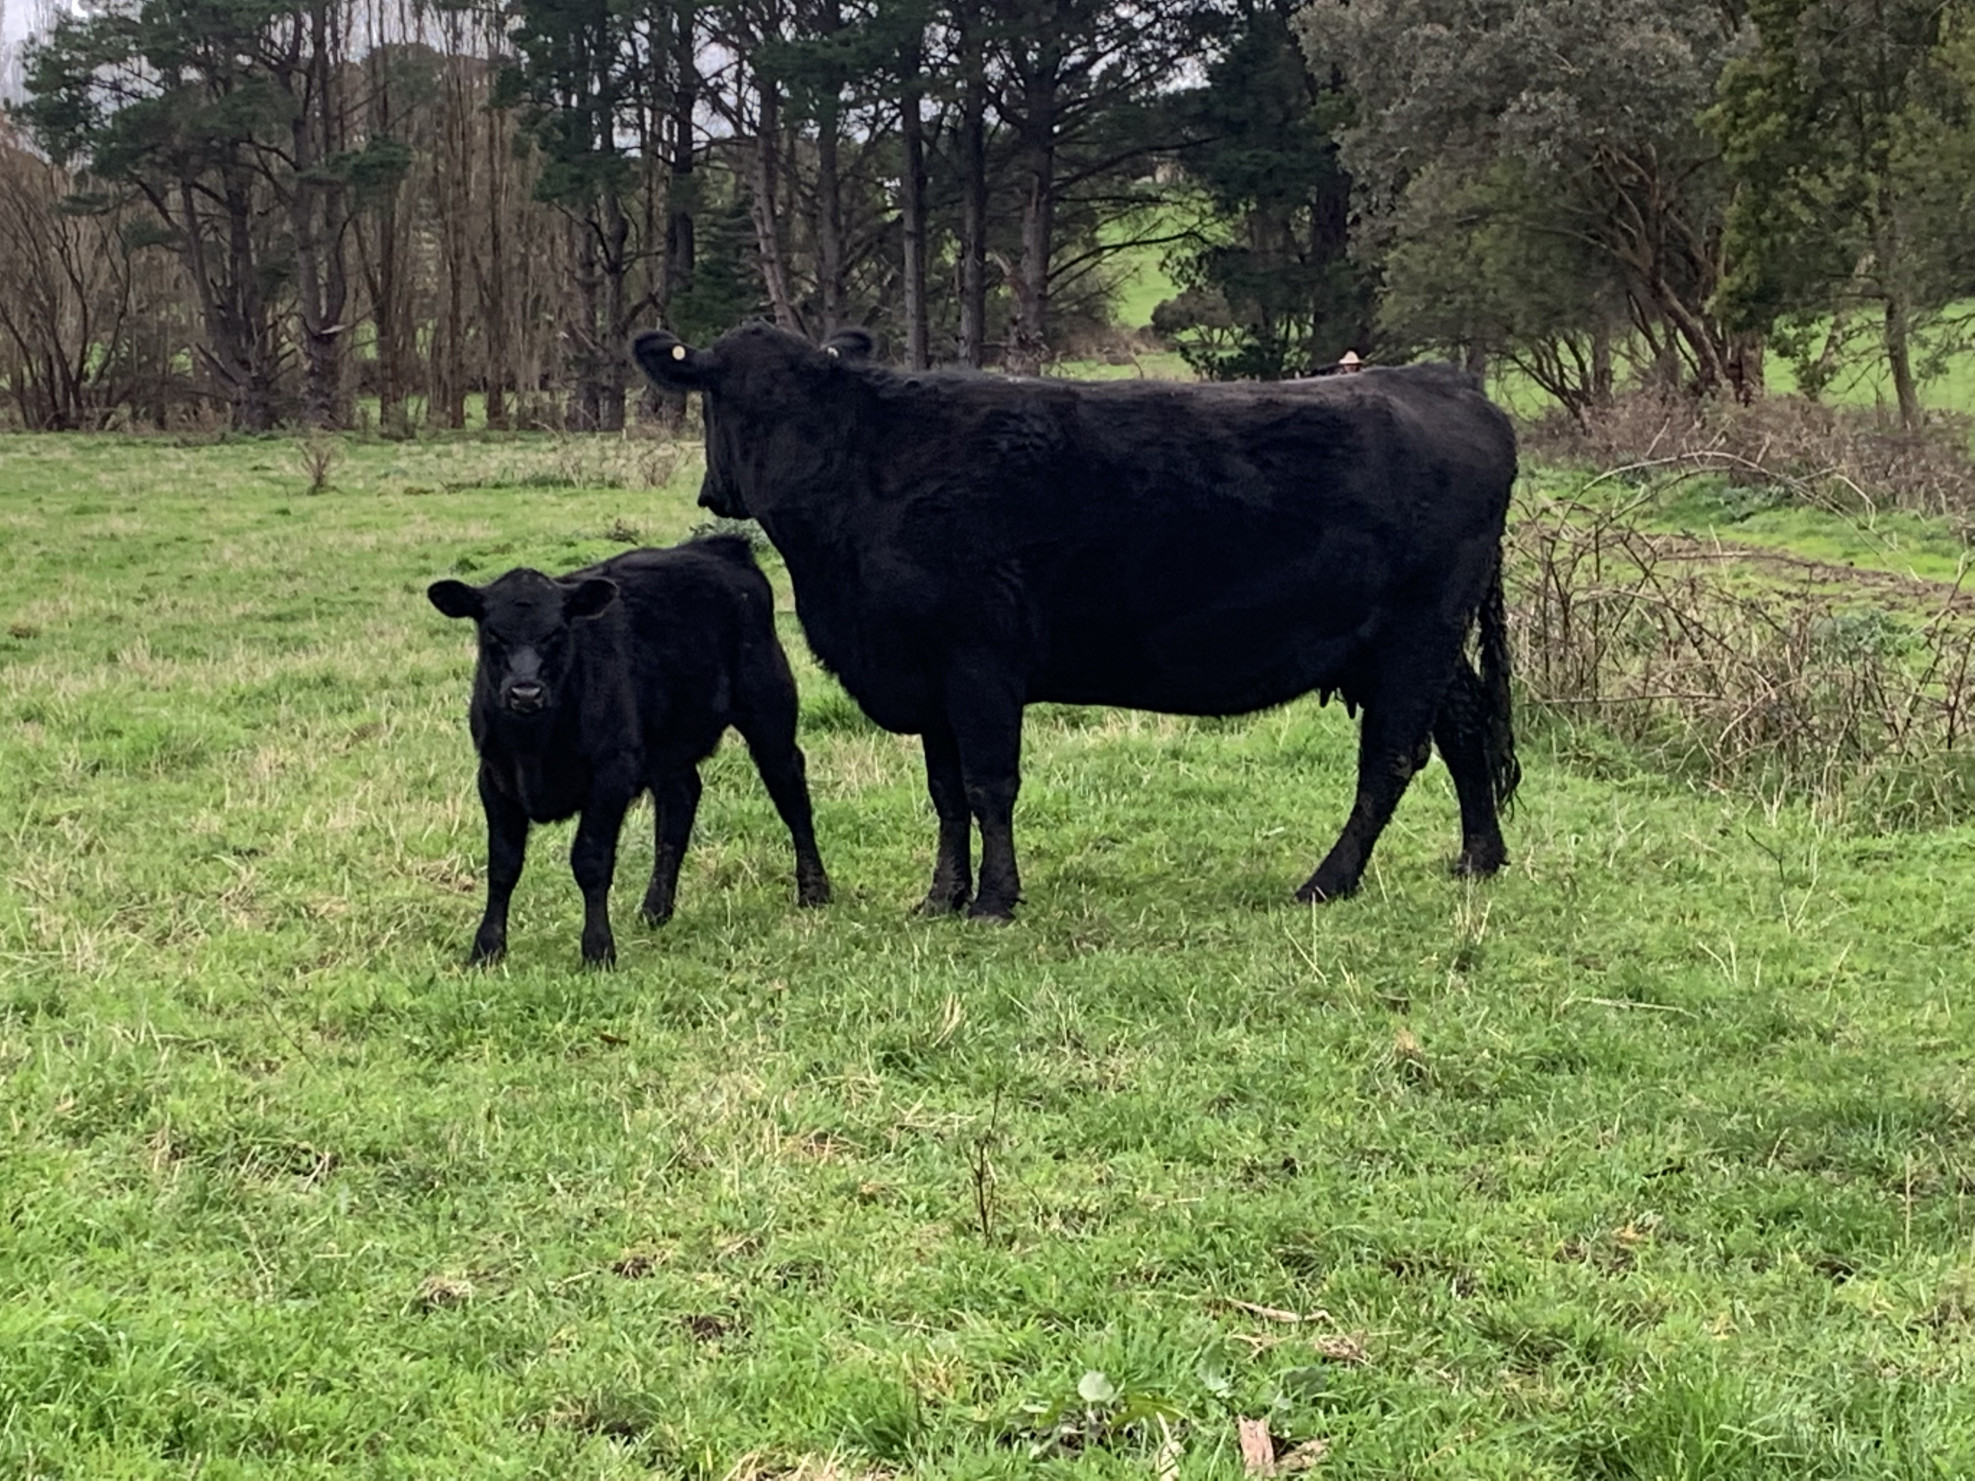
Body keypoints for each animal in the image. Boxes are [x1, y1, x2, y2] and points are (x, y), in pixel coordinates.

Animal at [427, 536, 831, 967]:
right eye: (493, 634)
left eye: (557, 632)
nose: (525, 692)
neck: (534, 747)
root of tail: (718, 547)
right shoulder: (494, 777)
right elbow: (503, 865)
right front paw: (486, 949)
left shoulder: (611, 773)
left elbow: (590, 860)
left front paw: (597, 949)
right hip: (669, 747)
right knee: (679, 805)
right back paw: (655, 909)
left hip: (768, 711)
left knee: (790, 791)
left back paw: (814, 890)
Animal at [632, 322, 1519, 921]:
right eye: (723, 394)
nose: (719, 491)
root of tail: (1447, 383)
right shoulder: (926, 673)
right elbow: (946, 793)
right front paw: (941, 896)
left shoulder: (979, 659)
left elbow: (989, 784)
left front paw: (994, 899)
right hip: (1418, 644)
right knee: (1463, 727)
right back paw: (1478, 857)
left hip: (1416, 635)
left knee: (1391, 757)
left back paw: (1325, 881)